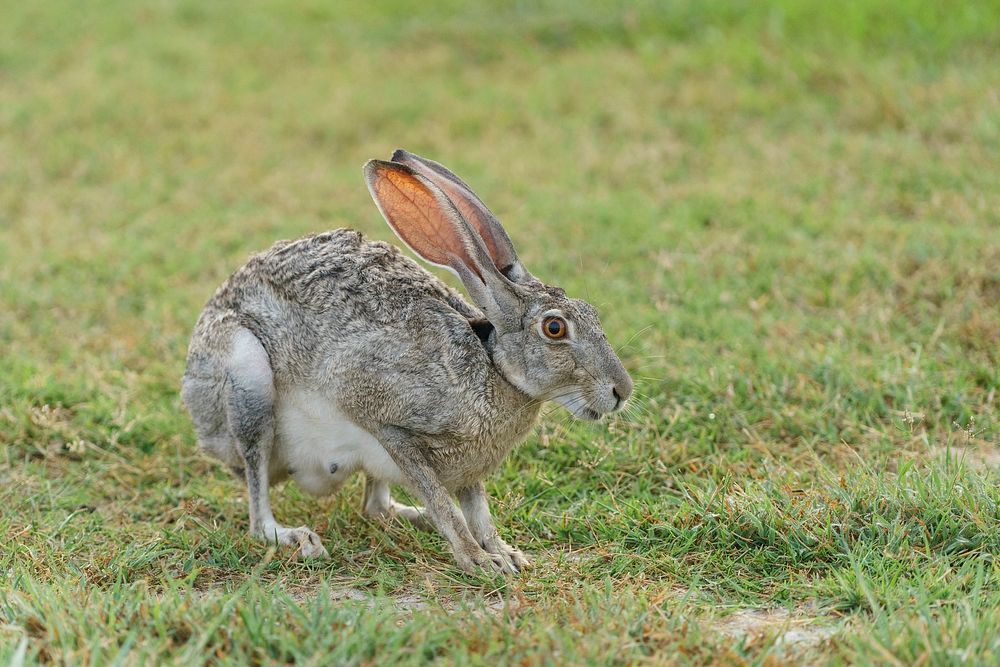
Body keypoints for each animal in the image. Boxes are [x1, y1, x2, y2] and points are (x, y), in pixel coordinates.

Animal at [180, 149, 633, 573]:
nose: (621, 391)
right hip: (248, 380)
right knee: (258, 503)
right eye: (554, 328)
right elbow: (445, 504)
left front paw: (506, 554)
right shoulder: (391, 426)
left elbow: (478, 511)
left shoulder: (468, 471)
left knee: (376, 507)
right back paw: (296, 537)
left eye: (591, 312)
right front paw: (478, 560)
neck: (493, 368)